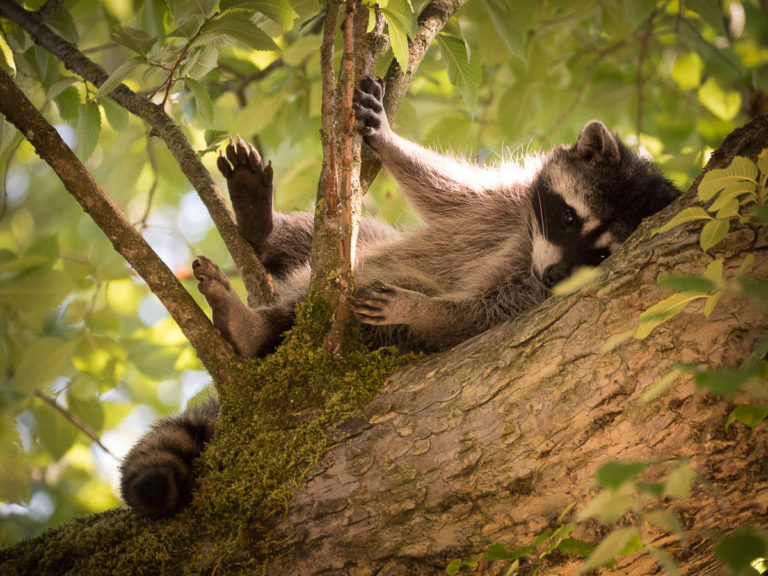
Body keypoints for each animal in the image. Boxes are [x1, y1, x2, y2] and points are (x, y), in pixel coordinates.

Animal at [120, 76, 679, 517]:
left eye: (600, 256)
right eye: (568, 217)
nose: (556, 273)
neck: (531, 249)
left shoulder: (530, 297)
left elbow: (477, 318)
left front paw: (425, 309)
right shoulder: (510, 202)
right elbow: (447, 193)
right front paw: (390, 141)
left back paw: (256, 329)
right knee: (350, 244)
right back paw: (263, 229)